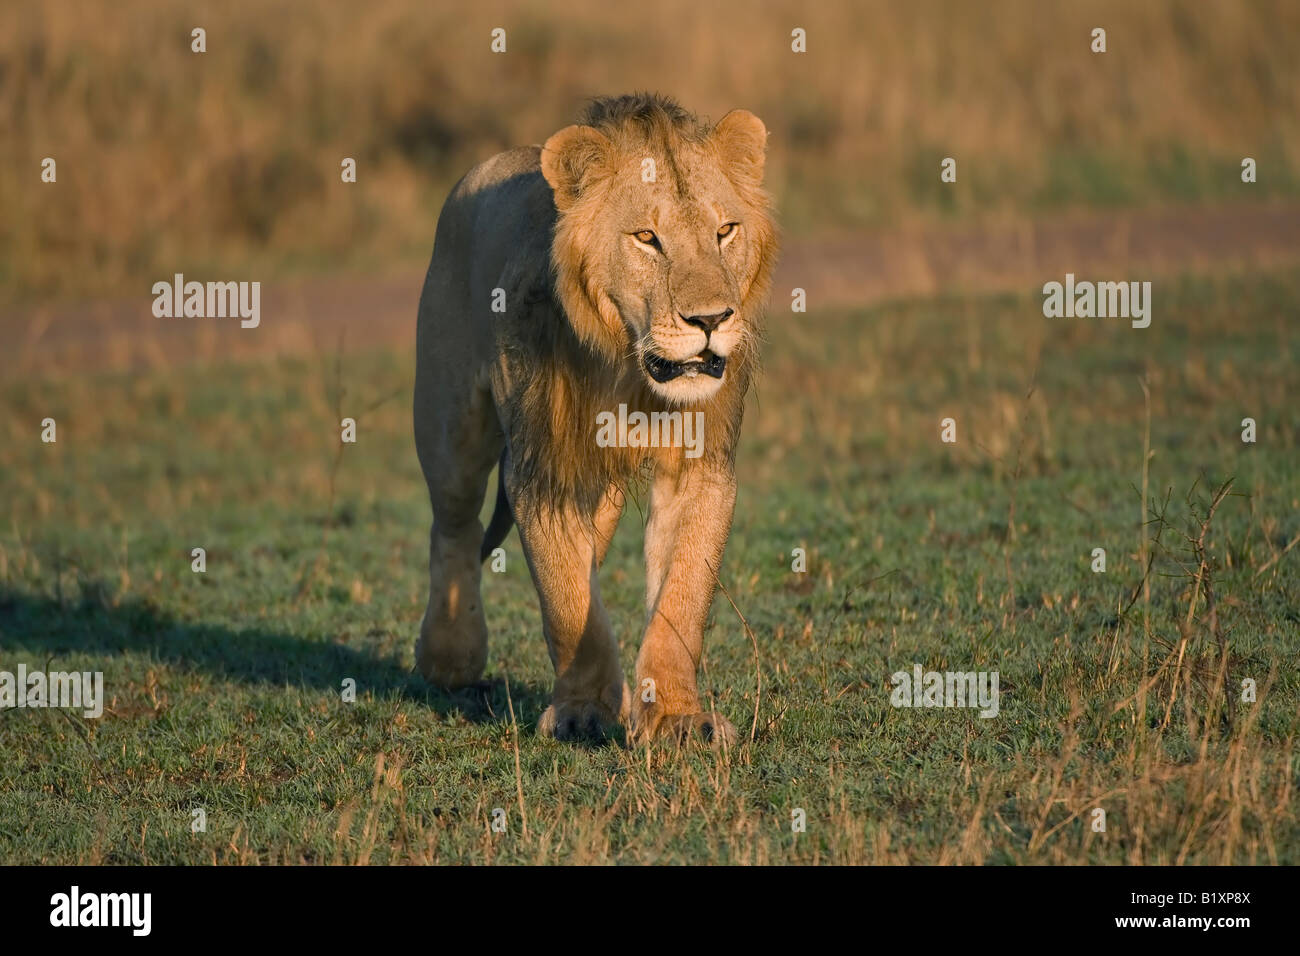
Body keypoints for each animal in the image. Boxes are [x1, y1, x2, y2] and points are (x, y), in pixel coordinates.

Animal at [412, 93, 777, 744]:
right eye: (647, 238)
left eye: (724, 231)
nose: (711, 319)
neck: (632, 371)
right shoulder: (543, 470)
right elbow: (567, 600)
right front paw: (583, 711)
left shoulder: (699, 469)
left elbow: (681, 599)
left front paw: (677, 718)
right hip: (449, 424)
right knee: (454, 527)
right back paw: (449, 655)